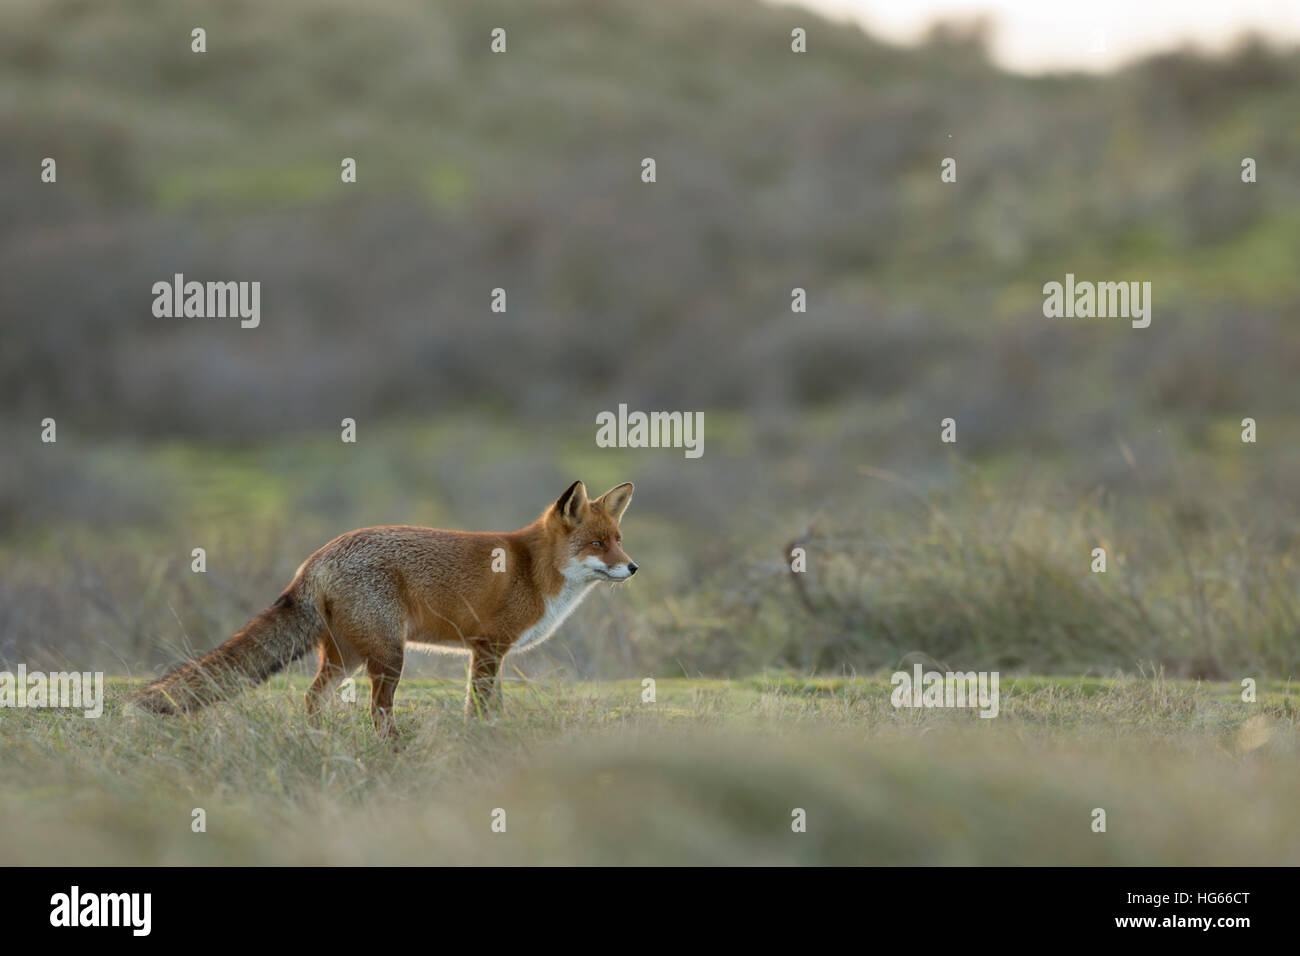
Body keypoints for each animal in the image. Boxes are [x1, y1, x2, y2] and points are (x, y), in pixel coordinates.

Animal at [132, 480, 636, 733]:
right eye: (597, 544)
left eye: (618, 540)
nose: (632, 567)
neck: (533, 571)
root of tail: (314, 560)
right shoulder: (488, 647)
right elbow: (479, 707)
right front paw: (482, 742)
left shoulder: (487, 651)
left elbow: (489, 706)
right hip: (390, 657)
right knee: (376, 711)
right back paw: (392, 751)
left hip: (348, 656)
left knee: (312, 697)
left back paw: (318, 739)